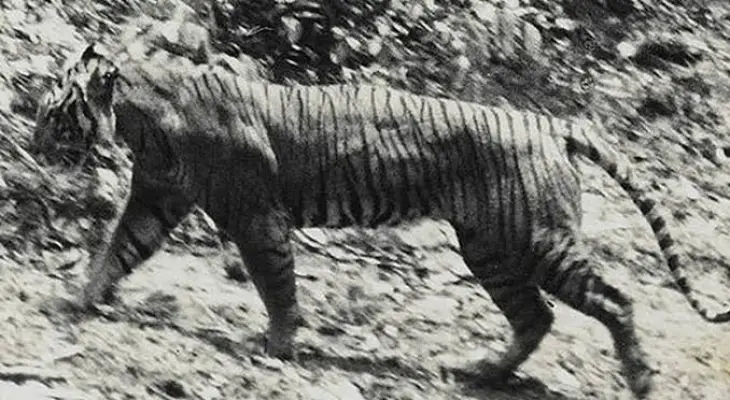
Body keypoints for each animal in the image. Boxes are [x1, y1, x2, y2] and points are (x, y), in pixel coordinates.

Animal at [34, 44, 730, 399]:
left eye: (52, 110)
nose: (34, 141)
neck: (140, 120)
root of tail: (548, 122)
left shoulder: (255, 217)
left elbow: (275, 283)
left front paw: (278, 347)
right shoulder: (155, 199)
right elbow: (117, 251)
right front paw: (78, 300)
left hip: (538, 241)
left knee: (614, 297)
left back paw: (641, 380)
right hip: (491, 249)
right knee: (536, 315)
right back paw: (483, 373)